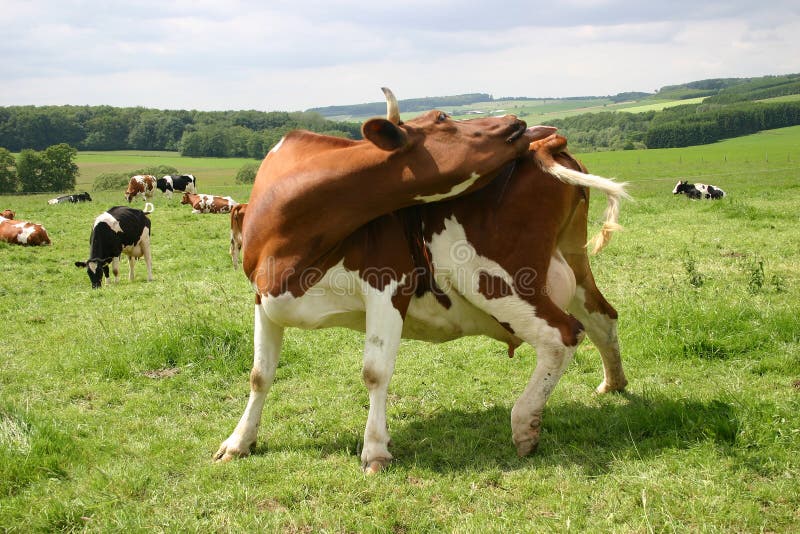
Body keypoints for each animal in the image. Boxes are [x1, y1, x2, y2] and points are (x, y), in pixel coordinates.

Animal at [214, 89, 629, 473]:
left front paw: (375, 450)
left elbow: (375, 371)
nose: (516, 121)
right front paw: (238, 441)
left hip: (497, 279)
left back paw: (525, 421)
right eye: (443, 116)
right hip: (570, 265)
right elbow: (260, 374)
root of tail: (549, 145)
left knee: (561, 334)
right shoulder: (264, 297)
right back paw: (613, 383)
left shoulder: (388, 284)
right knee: (602, 317)